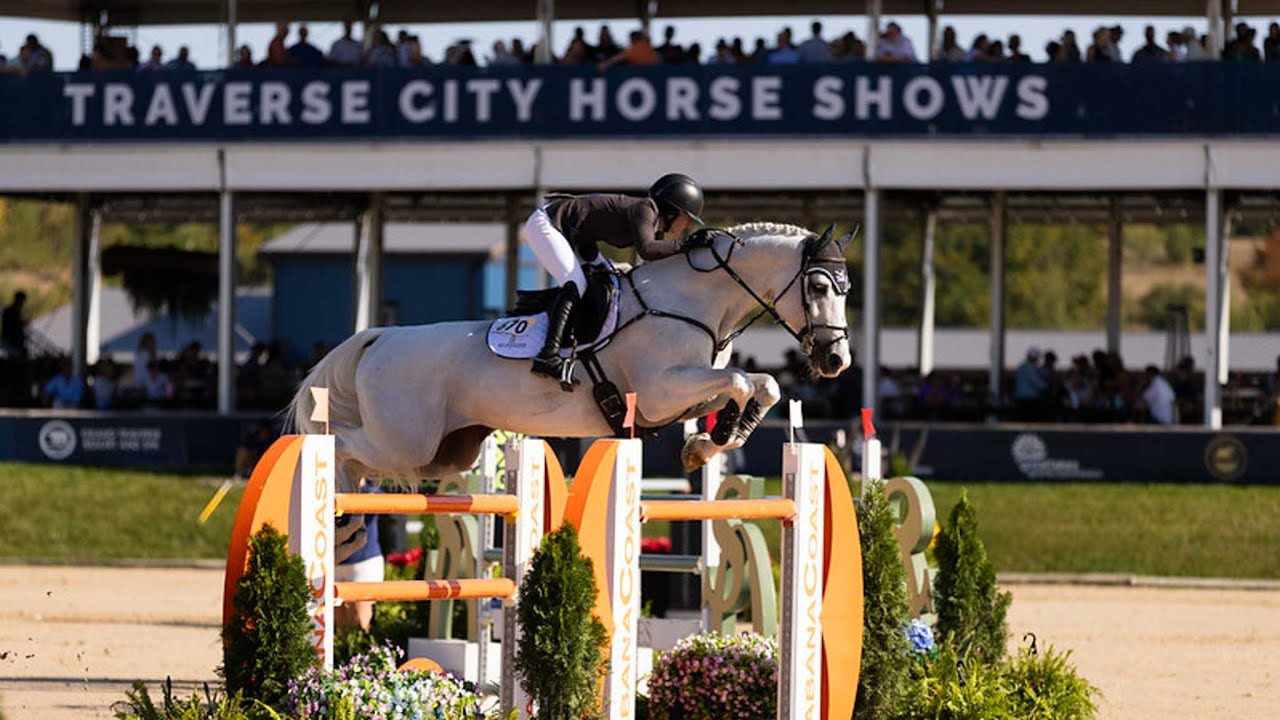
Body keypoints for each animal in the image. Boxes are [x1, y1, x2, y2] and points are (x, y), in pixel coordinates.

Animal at [288, 222, 854, 502]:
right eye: (819, 286)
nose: (836, 360)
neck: (694, 298)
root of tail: (379, 337)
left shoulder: (682, 392)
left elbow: (758, 385)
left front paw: (711, 442)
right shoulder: (660, 390)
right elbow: (740, 379)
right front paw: (712, 442)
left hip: (446, 454)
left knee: (365, 459)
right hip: (405, 441)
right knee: (340, 444)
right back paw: (336, 507)